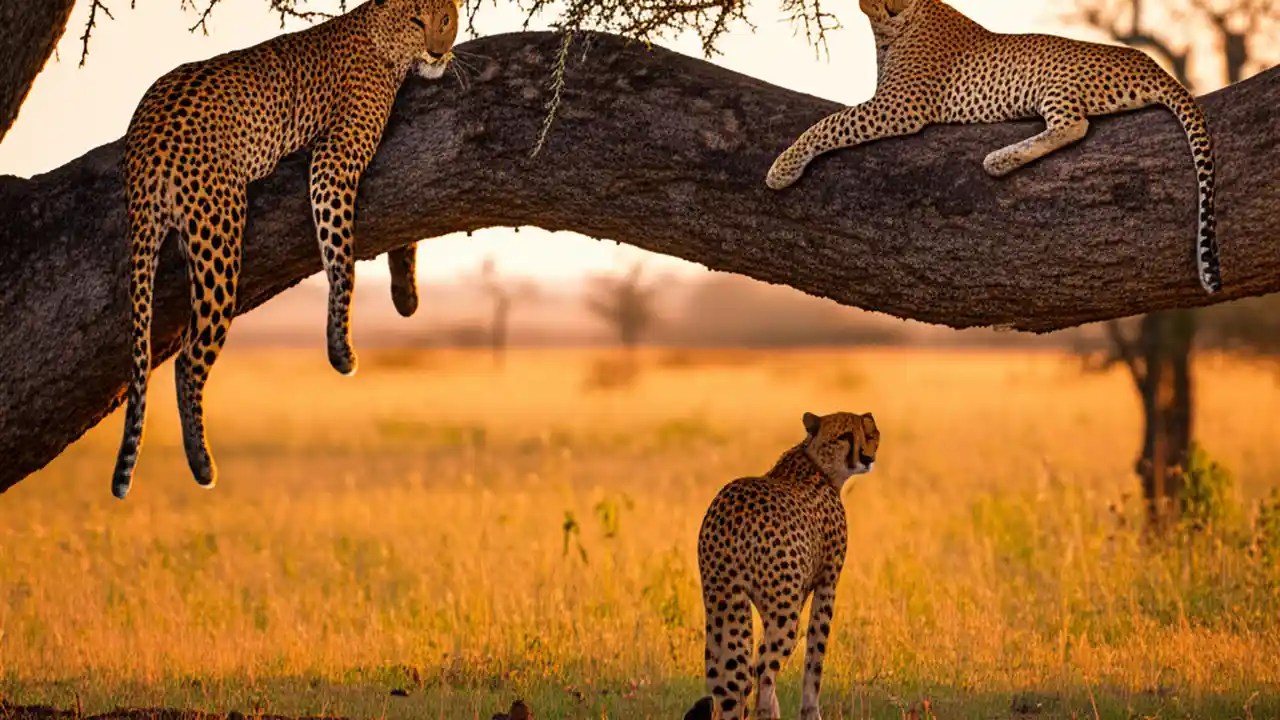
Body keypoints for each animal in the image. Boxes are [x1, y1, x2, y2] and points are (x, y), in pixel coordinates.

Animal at [111, 0, 460, 499]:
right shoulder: (335, 157)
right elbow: (342, 261)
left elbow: (403, 234)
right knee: (188, 359)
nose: (436, 51)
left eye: (445, 19)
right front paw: (341, 350)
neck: (380, 35)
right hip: (217, 230)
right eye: (417, 22)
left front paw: (406, 295)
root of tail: (144, 130)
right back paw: (202, 464)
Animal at [689, 410, 880, 720]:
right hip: (782, 611)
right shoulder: (827, 583)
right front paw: (810, 712)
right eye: (844, 436)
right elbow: (815, 657)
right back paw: (766, 711)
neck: (817, 462)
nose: (866, 457)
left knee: (730, 677)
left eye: (870, 434)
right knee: (763, 666)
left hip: (723, 604)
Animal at [766, 0, 1221, 295]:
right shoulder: (890, 100)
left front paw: (781, 170)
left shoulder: (900, 105)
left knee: (1073, 126)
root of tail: (1153, 64)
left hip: (1055, 80)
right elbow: (835, 120)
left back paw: (999, 160)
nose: (892, 10)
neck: (887, 31)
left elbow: (830, 122)